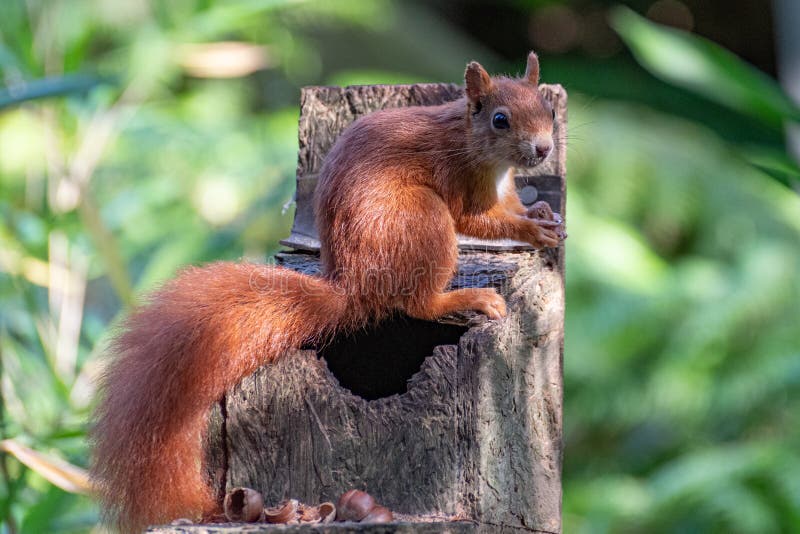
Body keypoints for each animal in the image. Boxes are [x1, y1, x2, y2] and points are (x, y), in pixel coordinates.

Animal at [90, 51, 565, 532]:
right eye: (500, 120)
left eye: (549, 111)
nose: (543, 149)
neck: (475, 144)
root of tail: (354, 286)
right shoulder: (459, 179)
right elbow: (479, 220)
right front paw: (532, 230)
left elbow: (512, 206)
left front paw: (541, 212)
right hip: (421, 219)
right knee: (417, 302)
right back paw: (467, 298)